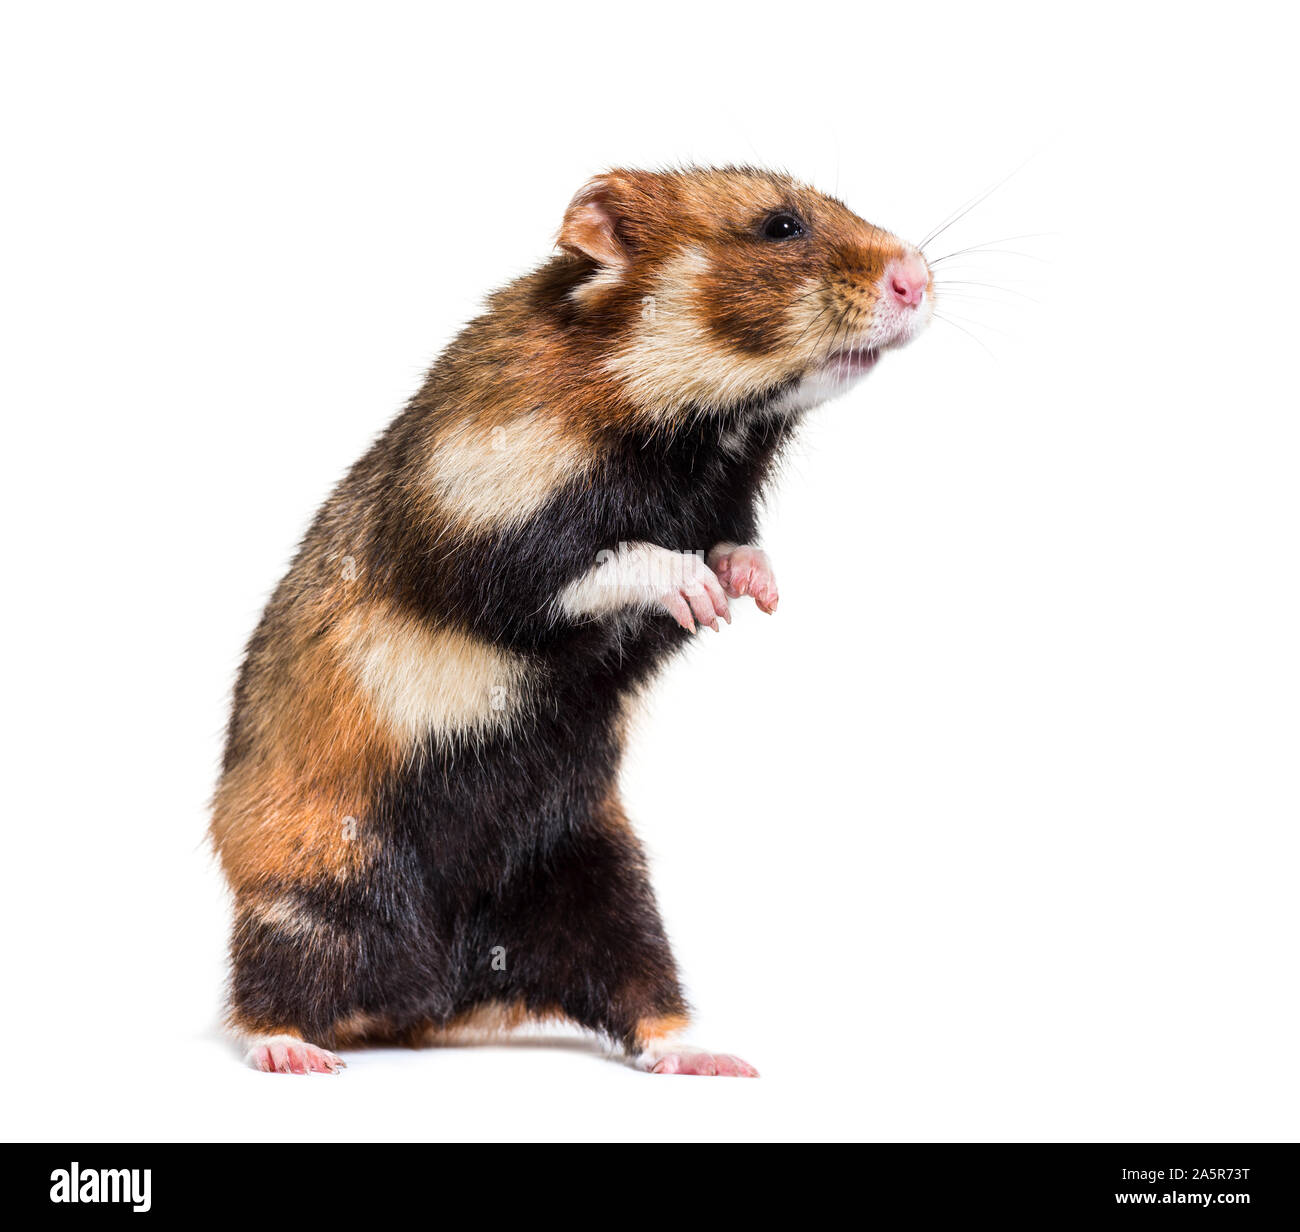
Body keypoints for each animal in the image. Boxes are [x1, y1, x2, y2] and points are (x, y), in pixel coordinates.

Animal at [212, 166, 933, 1075]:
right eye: (780, 226)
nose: (920, 279)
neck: (711, 436)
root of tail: (429, 1004)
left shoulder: (723, 503)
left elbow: (737, 544)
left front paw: (756, 590)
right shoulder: (481, 518)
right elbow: (604, 560)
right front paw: (700, 592)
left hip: (603, 879)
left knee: (639, 993)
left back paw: (709, 1057)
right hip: (313, 886)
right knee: (270, 991)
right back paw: (296, 1052)